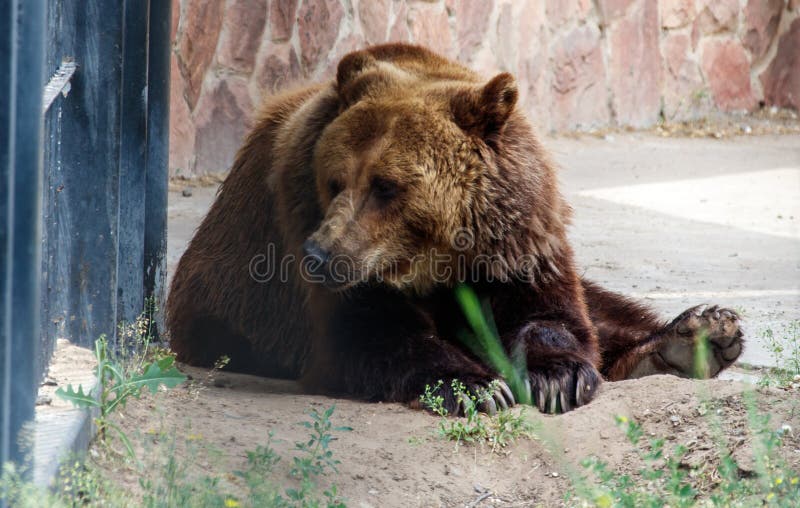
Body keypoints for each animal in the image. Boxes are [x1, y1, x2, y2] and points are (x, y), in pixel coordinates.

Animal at [166, 43, 744, 415]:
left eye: (386, 185)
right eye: (335, 180)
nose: (320, 254)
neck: (436, 253)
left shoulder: (517, 232)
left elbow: (553, 315)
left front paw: (555, 378)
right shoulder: (303, 217)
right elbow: (370, 335)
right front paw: (478, 387)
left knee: (603, 308)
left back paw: (702, 333)